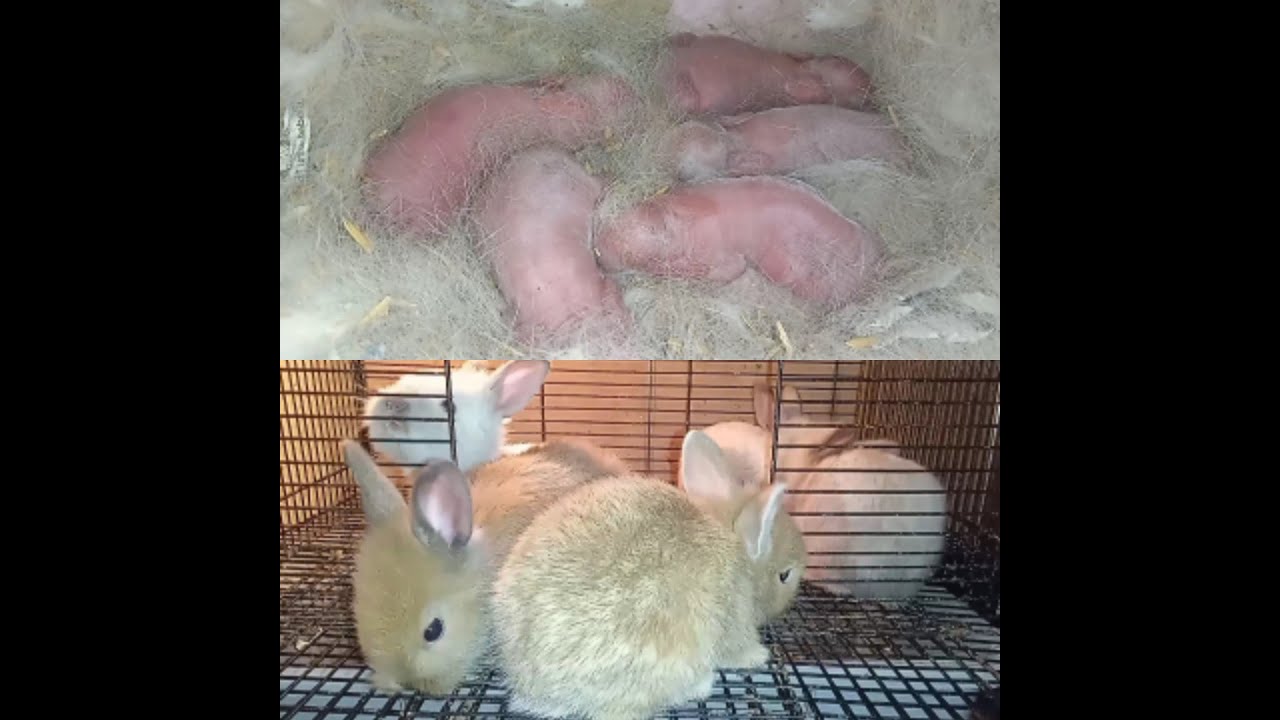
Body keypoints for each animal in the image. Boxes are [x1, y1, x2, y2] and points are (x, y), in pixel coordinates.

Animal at [488, 429, 799, 720]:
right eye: (784, 576)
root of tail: (538, 689)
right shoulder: (733, 617)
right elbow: (736, 649)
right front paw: (759, 656)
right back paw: (701, 685)